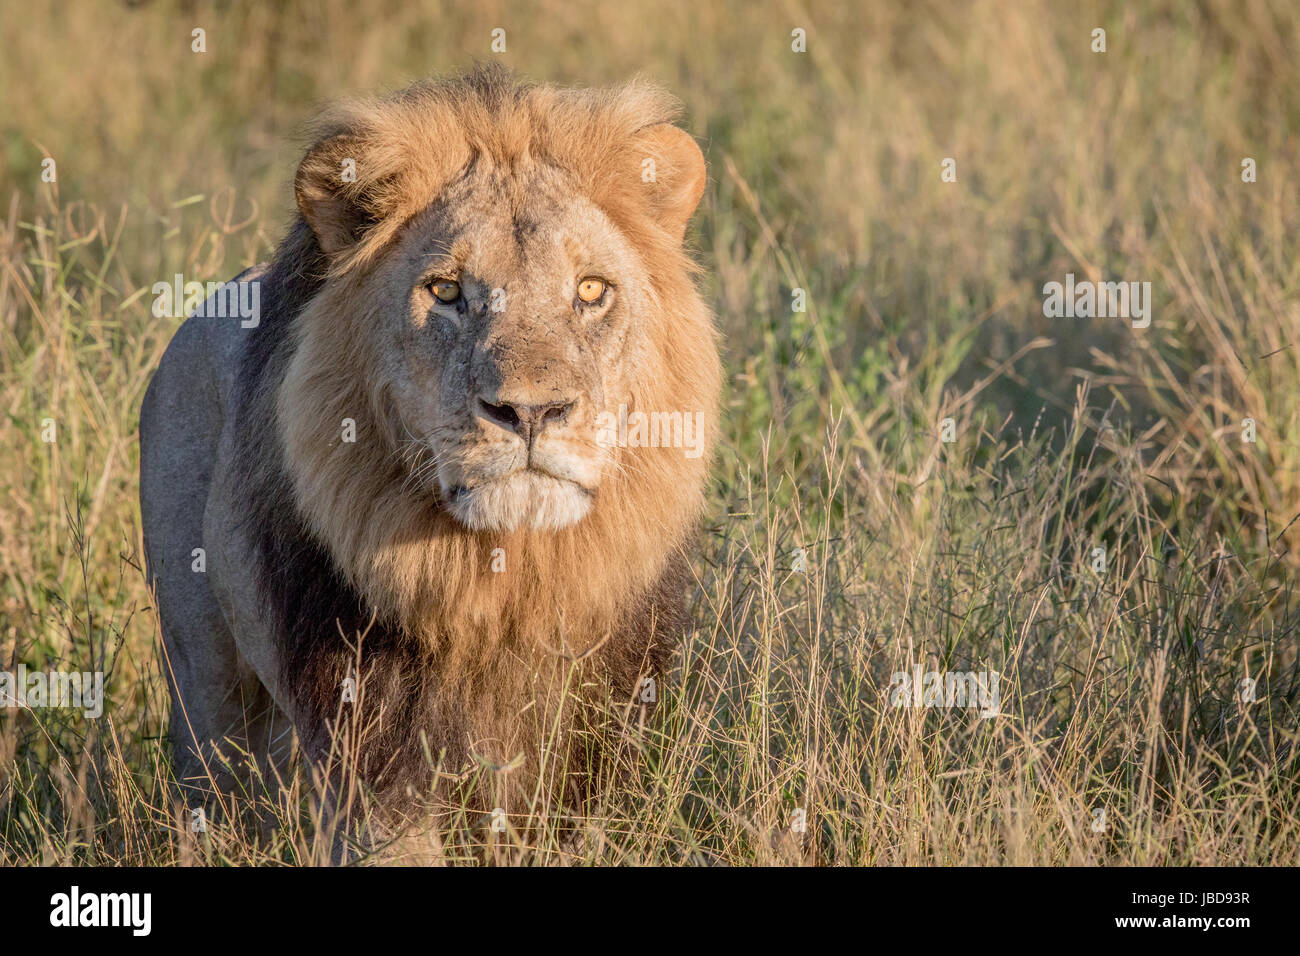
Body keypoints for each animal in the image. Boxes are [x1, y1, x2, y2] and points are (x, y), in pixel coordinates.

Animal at [138, 66, 720, 853]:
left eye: (591, 291)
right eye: (446, 292)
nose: (531, 412)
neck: (507, 582)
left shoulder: (586, 755)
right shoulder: (375, 758)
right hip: (205, 681)